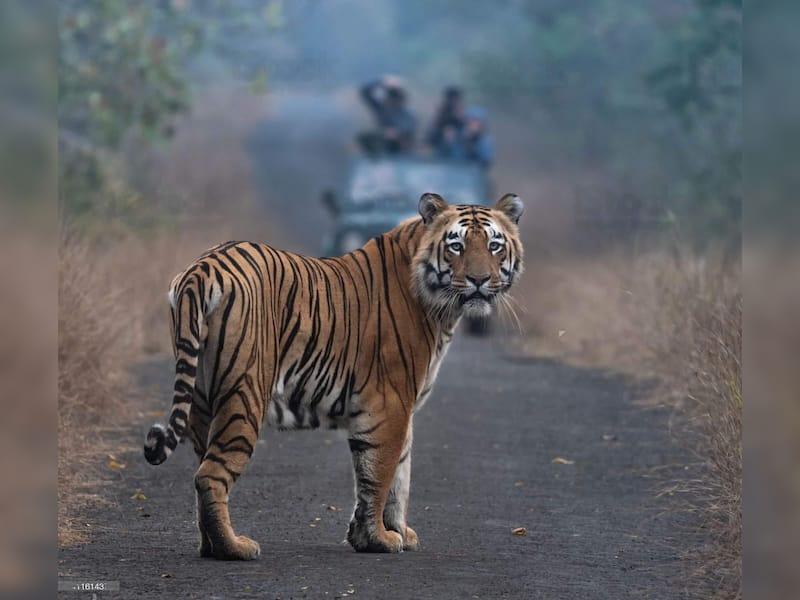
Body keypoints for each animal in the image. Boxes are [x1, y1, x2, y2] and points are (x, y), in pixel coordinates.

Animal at [144, 192, 524, 559]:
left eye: (494, 245)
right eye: (456, 245)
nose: (479, 280)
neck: (441, 309)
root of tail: (203, 267)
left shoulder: (398, 410)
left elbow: (397, 474)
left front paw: (387, 533)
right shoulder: (390, 404)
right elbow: (381, 475)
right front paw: (380, 539)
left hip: (201, 399)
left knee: (201, 469)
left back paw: (209, 546)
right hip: (244, 394)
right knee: (210, 475)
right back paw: (233, 548)